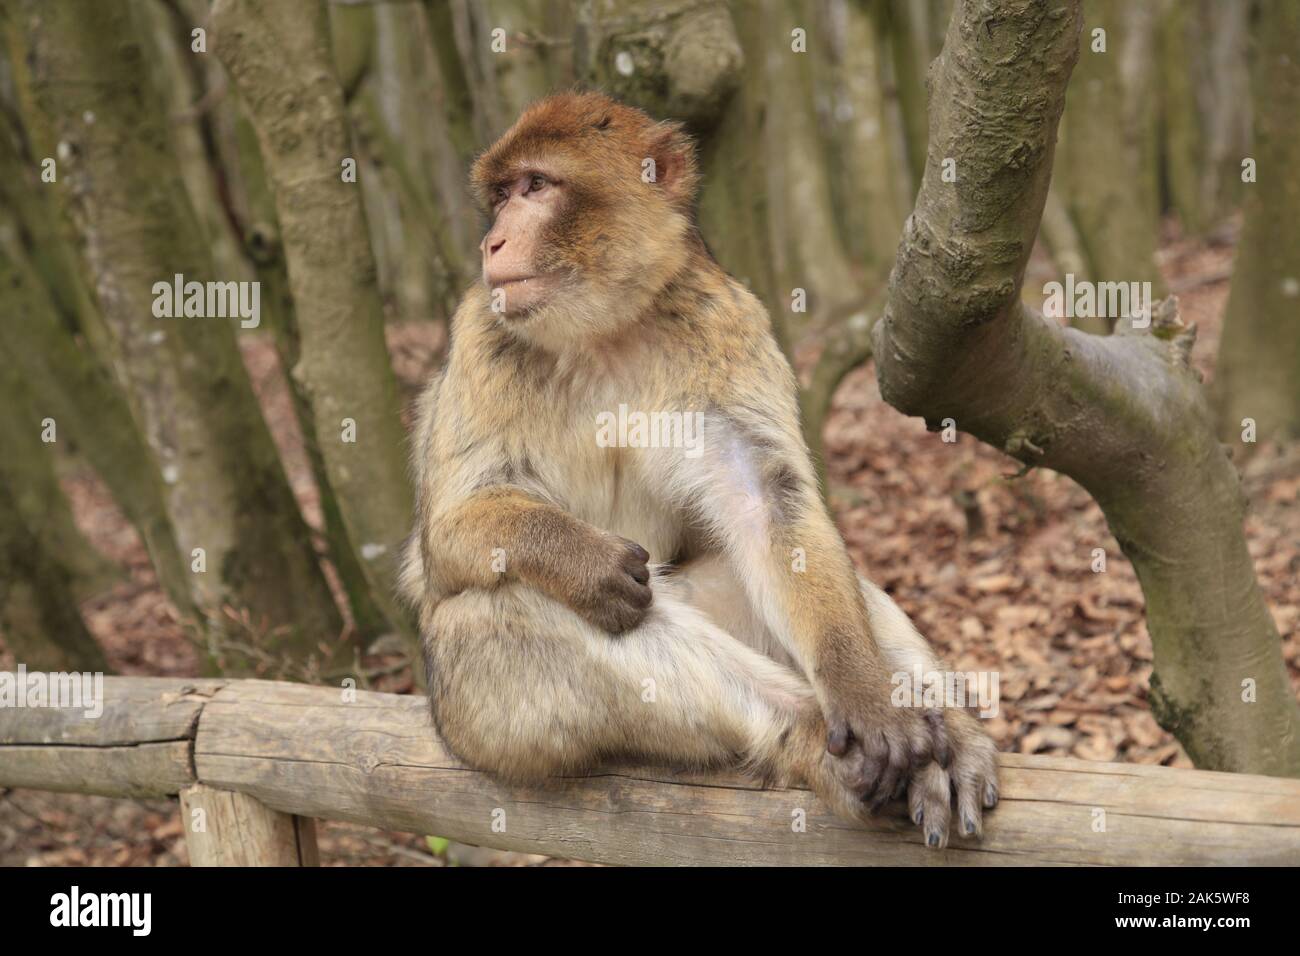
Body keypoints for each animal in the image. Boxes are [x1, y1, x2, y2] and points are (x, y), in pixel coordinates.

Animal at [399, 91, 998, 848]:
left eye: (535, 186)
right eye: (502, 195)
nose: (492, 244)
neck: (604, 330)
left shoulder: (725, 319)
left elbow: (768, 503)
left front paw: (868, 700)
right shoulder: (481, 328)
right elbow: (450, 531)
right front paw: (580, 559)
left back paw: (944, 735)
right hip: (479, 722)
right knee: (501, 610)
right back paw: (810, 734)